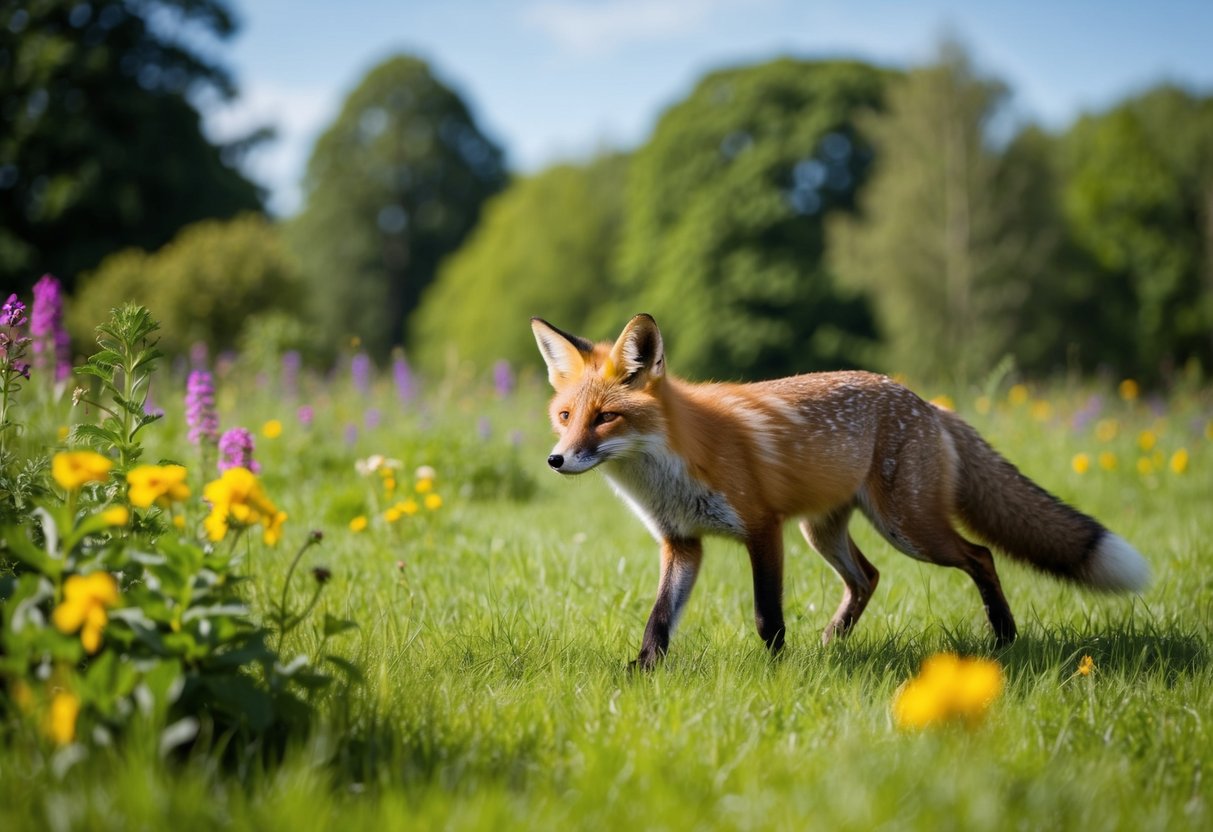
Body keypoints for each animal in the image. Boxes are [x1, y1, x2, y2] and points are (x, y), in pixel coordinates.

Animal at [532, 314, 1150, 668]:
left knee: (980, 555)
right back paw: (833, 642)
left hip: (909, 530)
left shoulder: (762, 528)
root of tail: (929, 404)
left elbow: (767, 615)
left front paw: (777, 671)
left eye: (606, 418)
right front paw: (643, 671)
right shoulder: (683, 544)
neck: (669, 468)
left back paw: (1003, 636)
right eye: (564, 416)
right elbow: (658, 619)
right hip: (823, 530)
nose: (557, 459)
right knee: (868, 577)